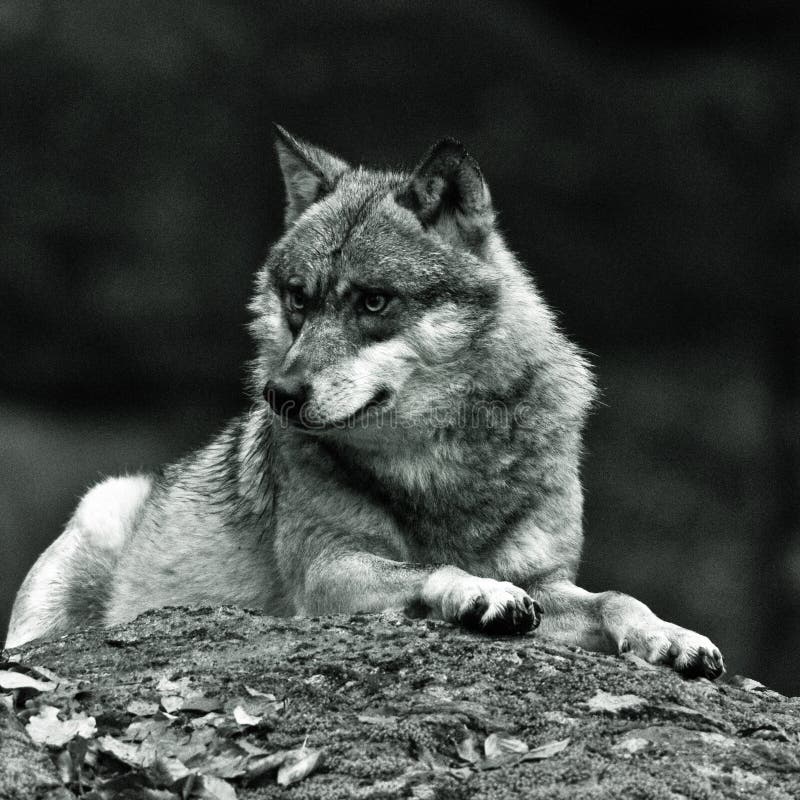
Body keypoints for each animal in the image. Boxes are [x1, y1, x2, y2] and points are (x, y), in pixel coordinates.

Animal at [6, 128, 723, 679]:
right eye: (299, 298)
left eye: (373, 301)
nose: (280, 395)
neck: (440, 470)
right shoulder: (329, 572)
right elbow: (432, 568)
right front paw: (479, 590)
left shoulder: (550, 580)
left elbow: (616, 597)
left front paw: (672, 636)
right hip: (104, 505)